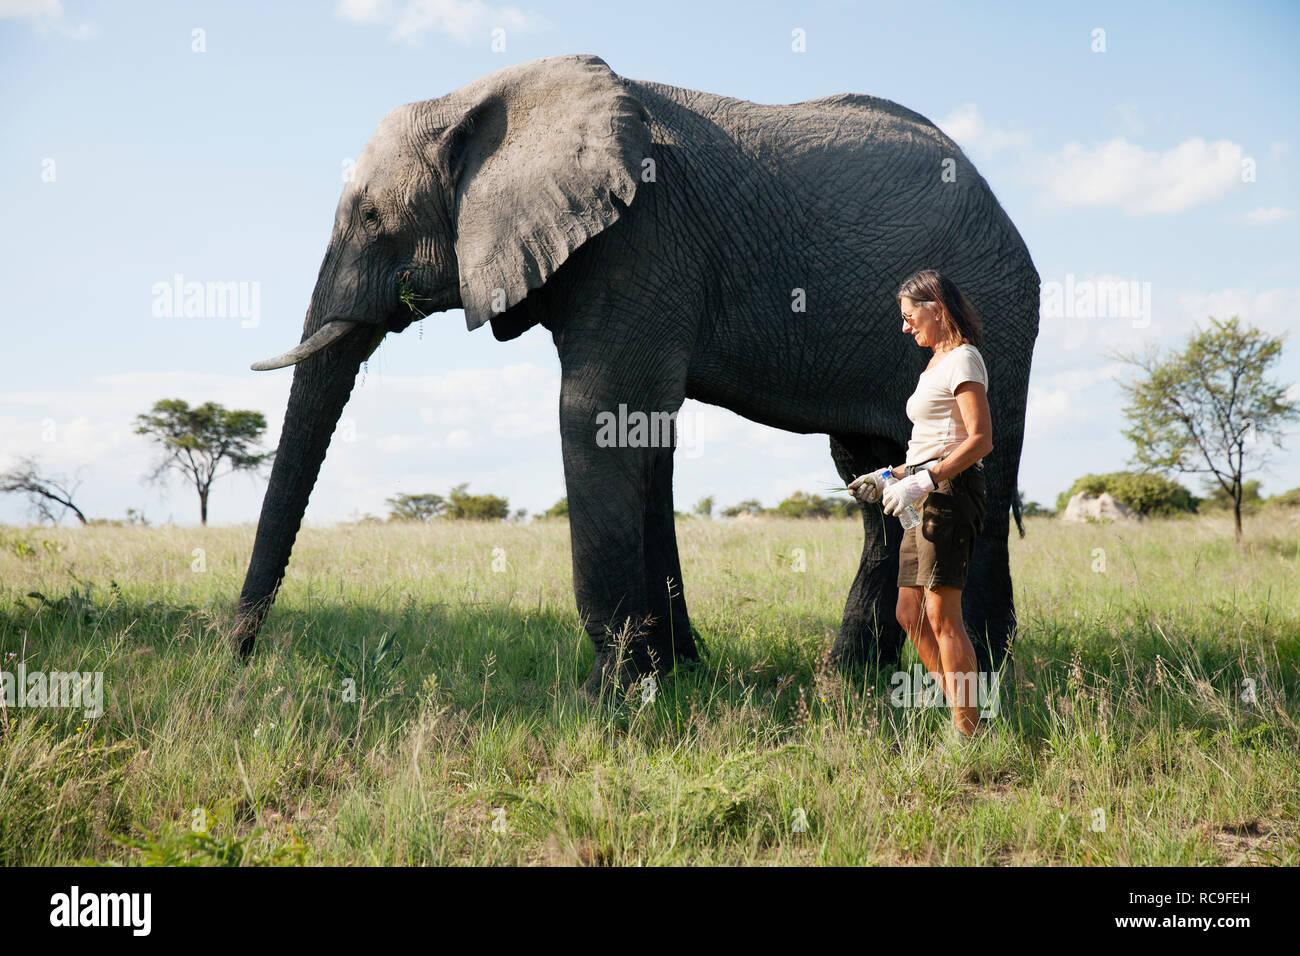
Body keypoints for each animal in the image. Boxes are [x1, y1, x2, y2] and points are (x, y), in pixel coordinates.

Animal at [233, 53, 1039, 697]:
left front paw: (609, 697)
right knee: (868, 472)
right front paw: (672, 672)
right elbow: (645, 434)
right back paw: (845, 678)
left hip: (996, 311)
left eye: (372, 217)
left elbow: (595, 414)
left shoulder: (642, 236)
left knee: (982, 469)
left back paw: (985, 672)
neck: (477, 97)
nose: (239, 657)